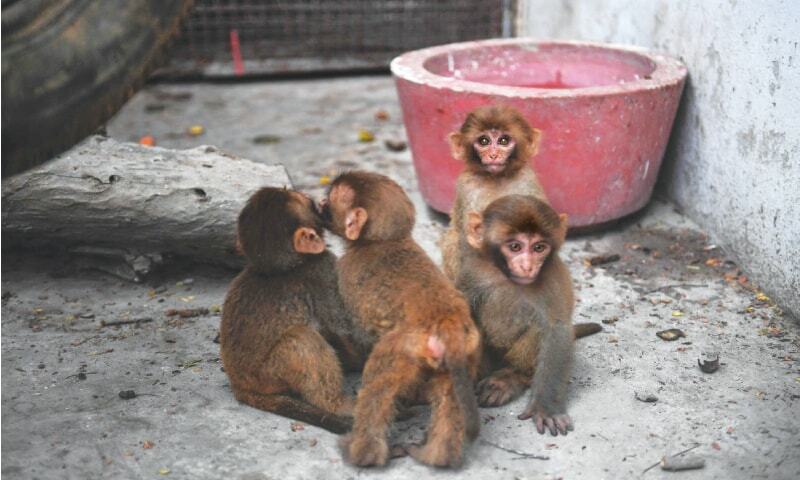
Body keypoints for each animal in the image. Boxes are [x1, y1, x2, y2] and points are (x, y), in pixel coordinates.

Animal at [219, 187, 369, 434]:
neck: (283, 268)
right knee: (302, 338)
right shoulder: (322, 269)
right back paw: (338, 405)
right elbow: (345, 326)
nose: (317, 200)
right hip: (268, 375)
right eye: (305, 200)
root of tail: (240, 384)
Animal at [320, 171, 481, 468]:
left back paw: (363, 453)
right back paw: (438, 455)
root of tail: (447, 320)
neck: (380, 241)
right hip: (464, 353)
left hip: (402, 349)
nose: (321, 203)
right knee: (449, 396)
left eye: (332, 199)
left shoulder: (344, 272)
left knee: (379, 383)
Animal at [441, 104, 547, 282]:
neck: (497, 179)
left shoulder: (527, 181)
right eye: (484, 141)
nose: (493, 155)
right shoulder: (468, 187)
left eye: (503, 141)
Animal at [455, 194, 600, 436]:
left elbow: (555, 330)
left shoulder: (551, 279)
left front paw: (546, 408)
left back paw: (511, 378)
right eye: (515, 246)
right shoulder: (473, 270)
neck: (506, 277)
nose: (528, 266)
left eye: (539, 247)